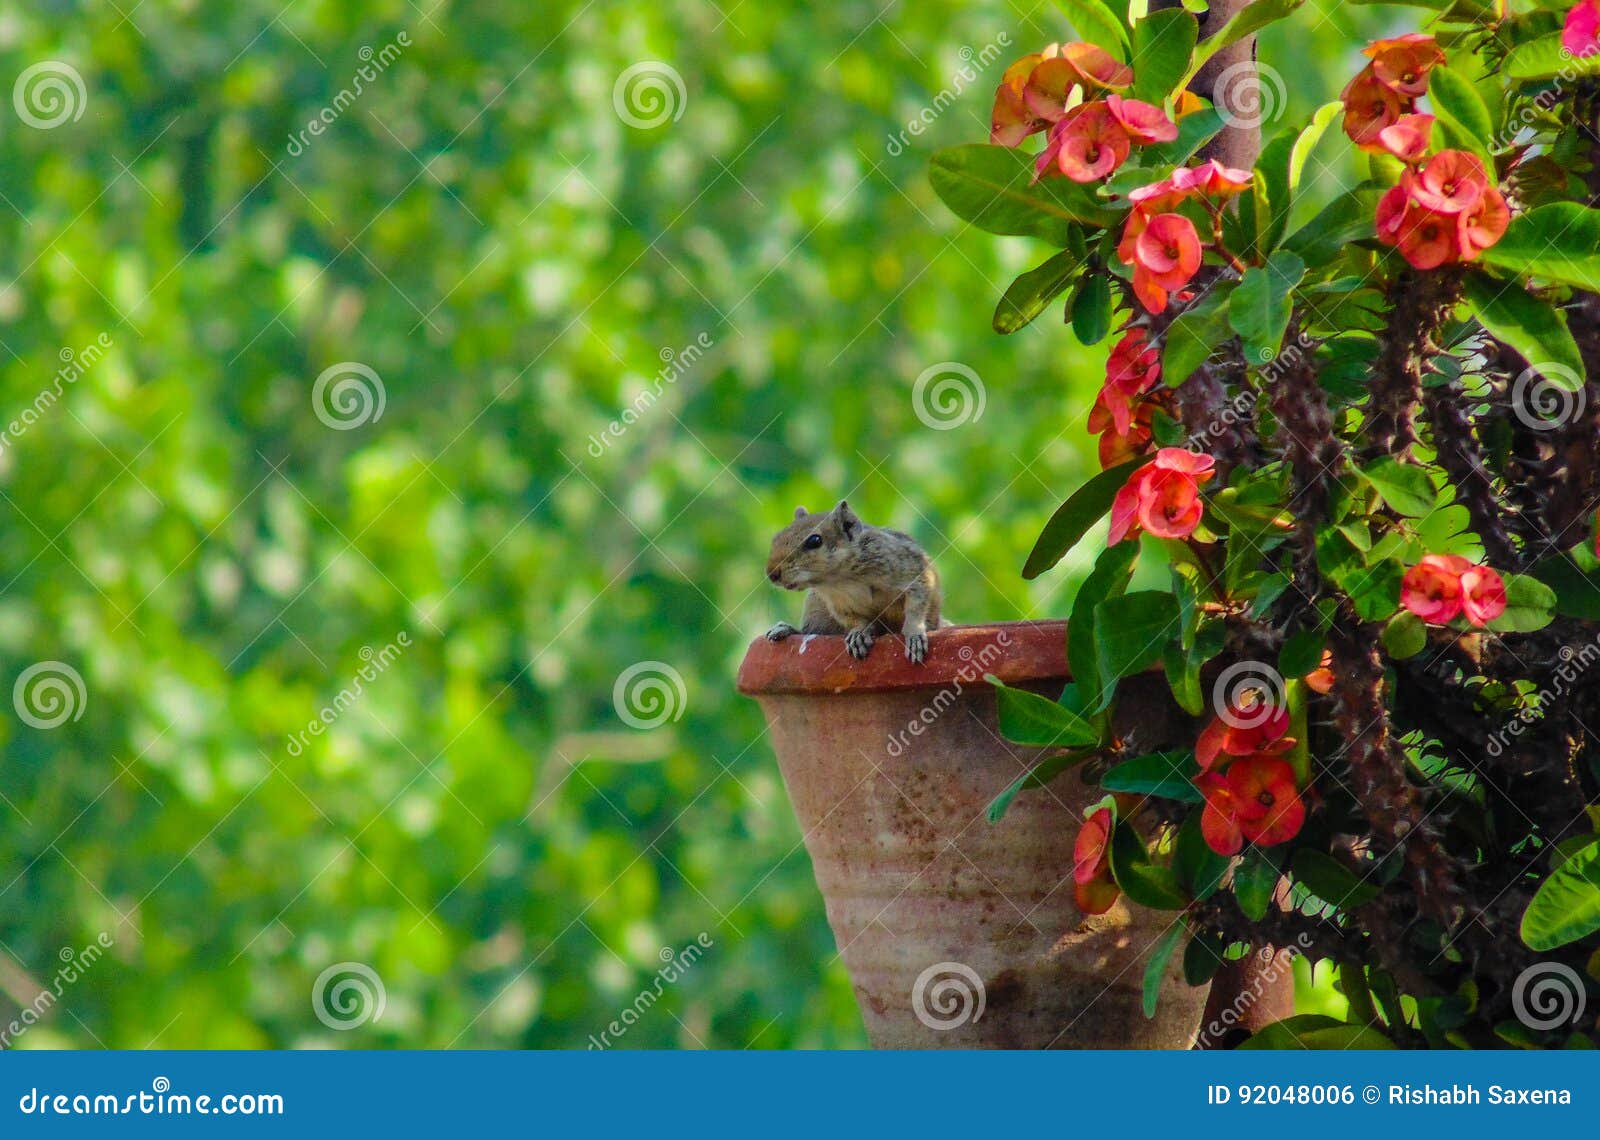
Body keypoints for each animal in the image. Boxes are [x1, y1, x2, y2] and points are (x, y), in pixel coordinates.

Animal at [763, 500, 948, 664]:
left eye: (814, 541)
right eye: (775, 538)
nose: (772, 573)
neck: (839, 579)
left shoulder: (913, 571)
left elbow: (916, 606)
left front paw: (914, 634)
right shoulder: (837, 606)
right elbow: (853, 620)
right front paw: (859, 634)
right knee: (811, 631)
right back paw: (785, 629)